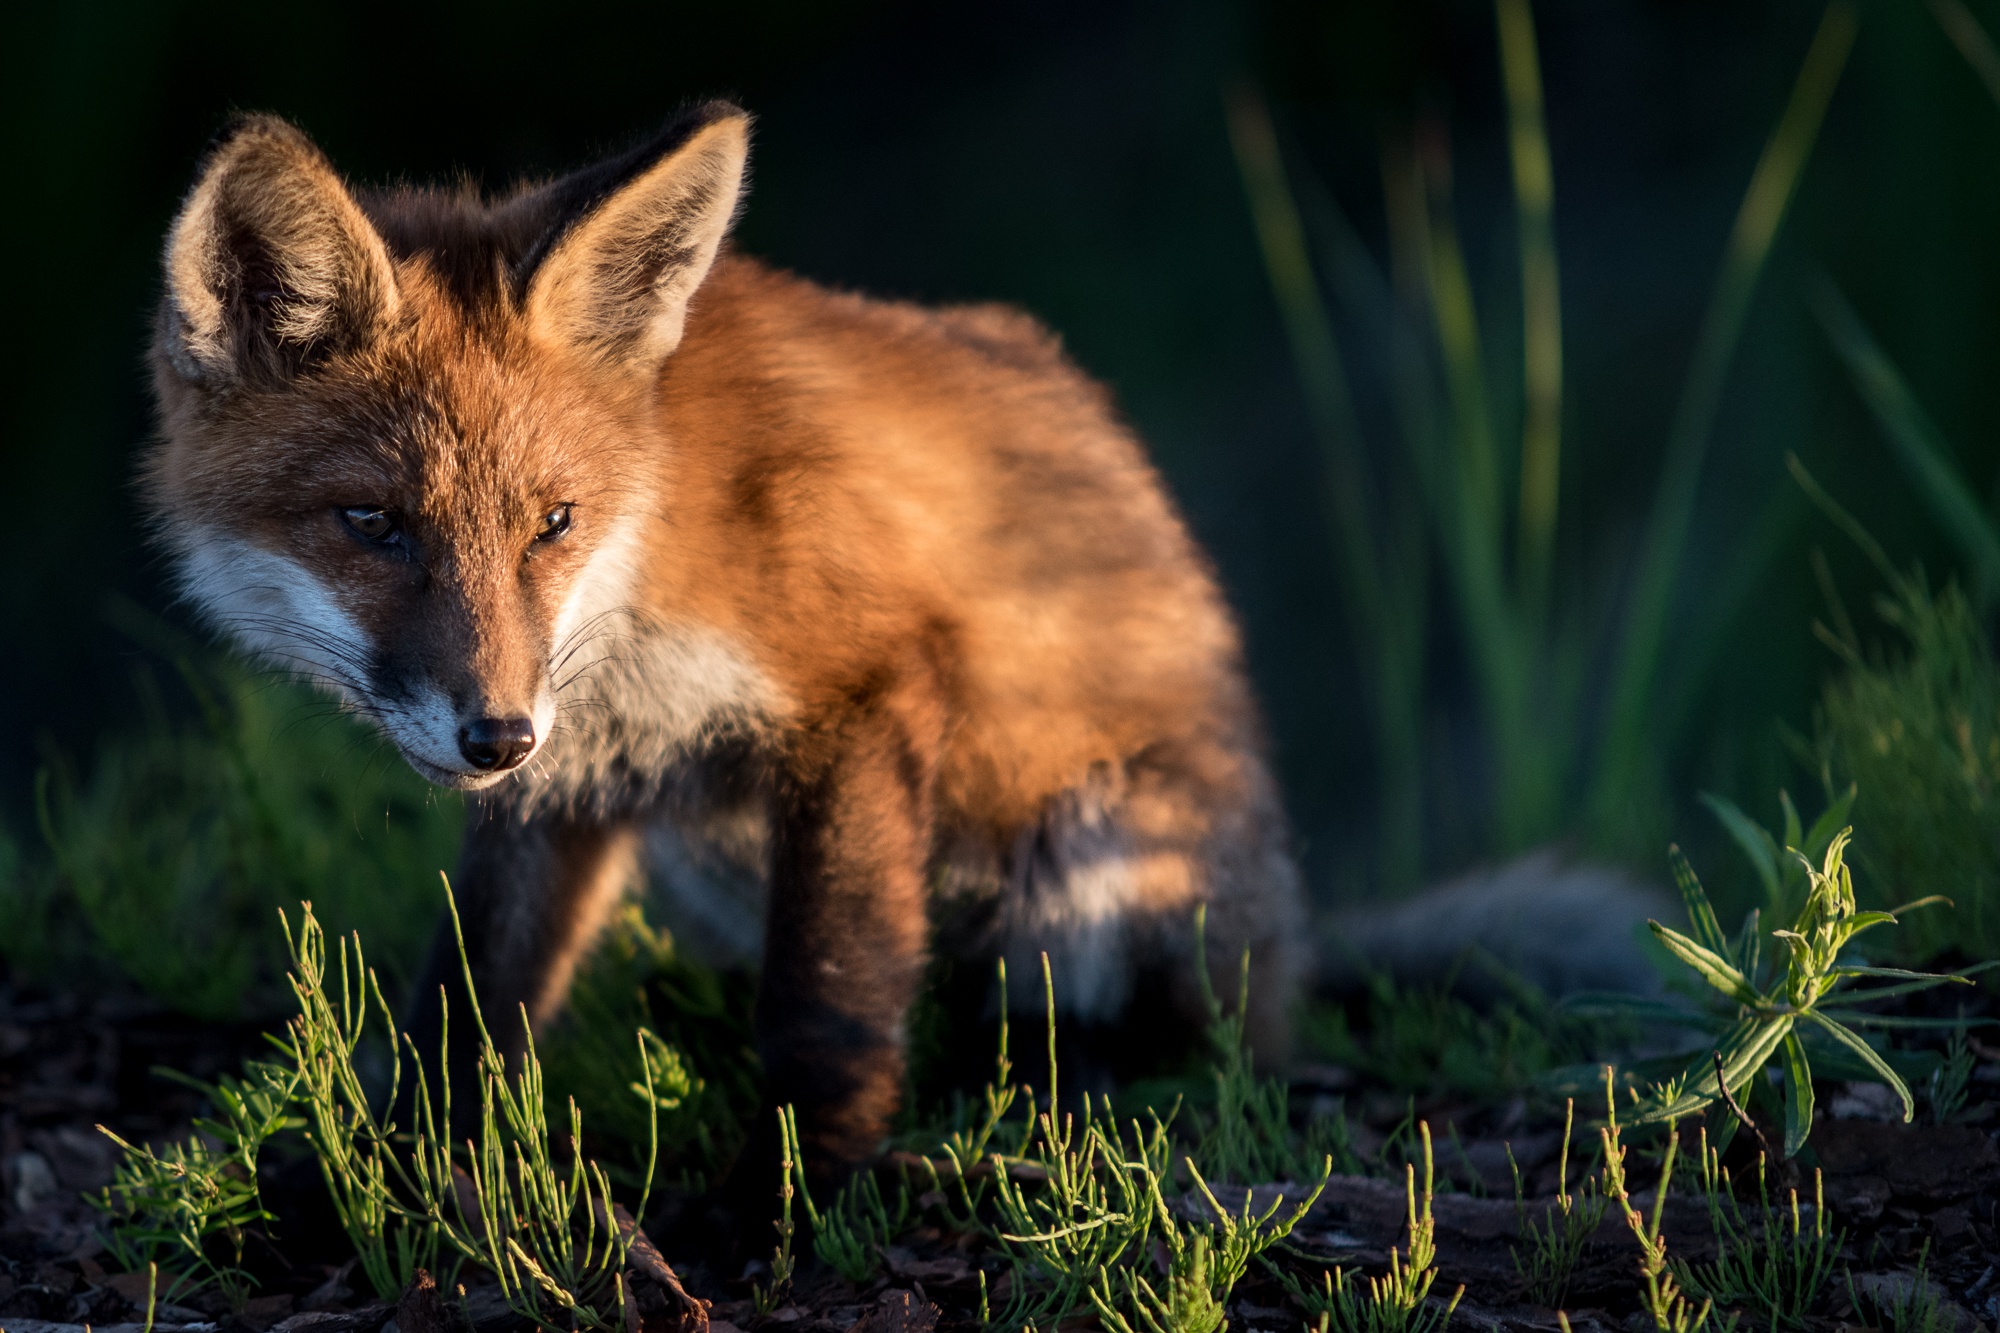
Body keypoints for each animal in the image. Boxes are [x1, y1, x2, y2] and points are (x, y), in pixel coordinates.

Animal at [140, 101, 1306, 1187]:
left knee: (1155, 1035)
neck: (644, 562)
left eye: (553, 522)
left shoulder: (864, 686)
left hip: (1102, 862)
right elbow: (473, 991)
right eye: (374, 522)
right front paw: (413, 1161)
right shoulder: (567, 778)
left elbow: (827, 992)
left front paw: (798, 1188)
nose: (497, 737)